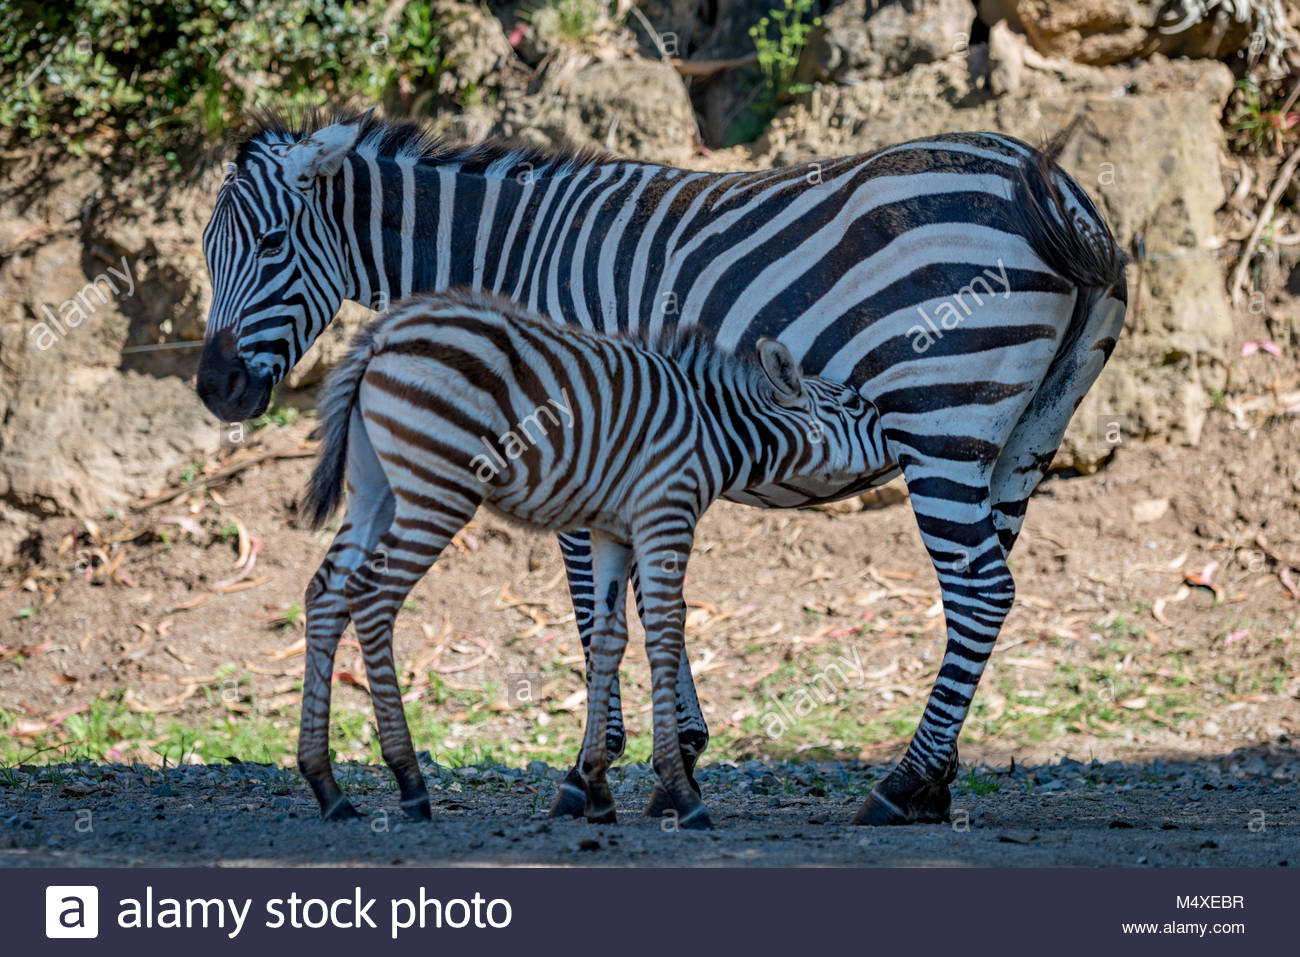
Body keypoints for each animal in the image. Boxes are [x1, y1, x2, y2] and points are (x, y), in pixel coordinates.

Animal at [298, 288, 888, 826]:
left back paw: (328, 788)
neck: (714, 427)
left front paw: (598, 789)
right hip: (437, 487)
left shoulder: (613, 530)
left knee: (326, 593)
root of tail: (381, 335)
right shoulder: (665, 512)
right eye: (856, 407)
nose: (901, 445)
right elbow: (664, 635)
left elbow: (608, 638)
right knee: (371, 598)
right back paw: (408, 779)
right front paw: (681, 792)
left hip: (375, 488)